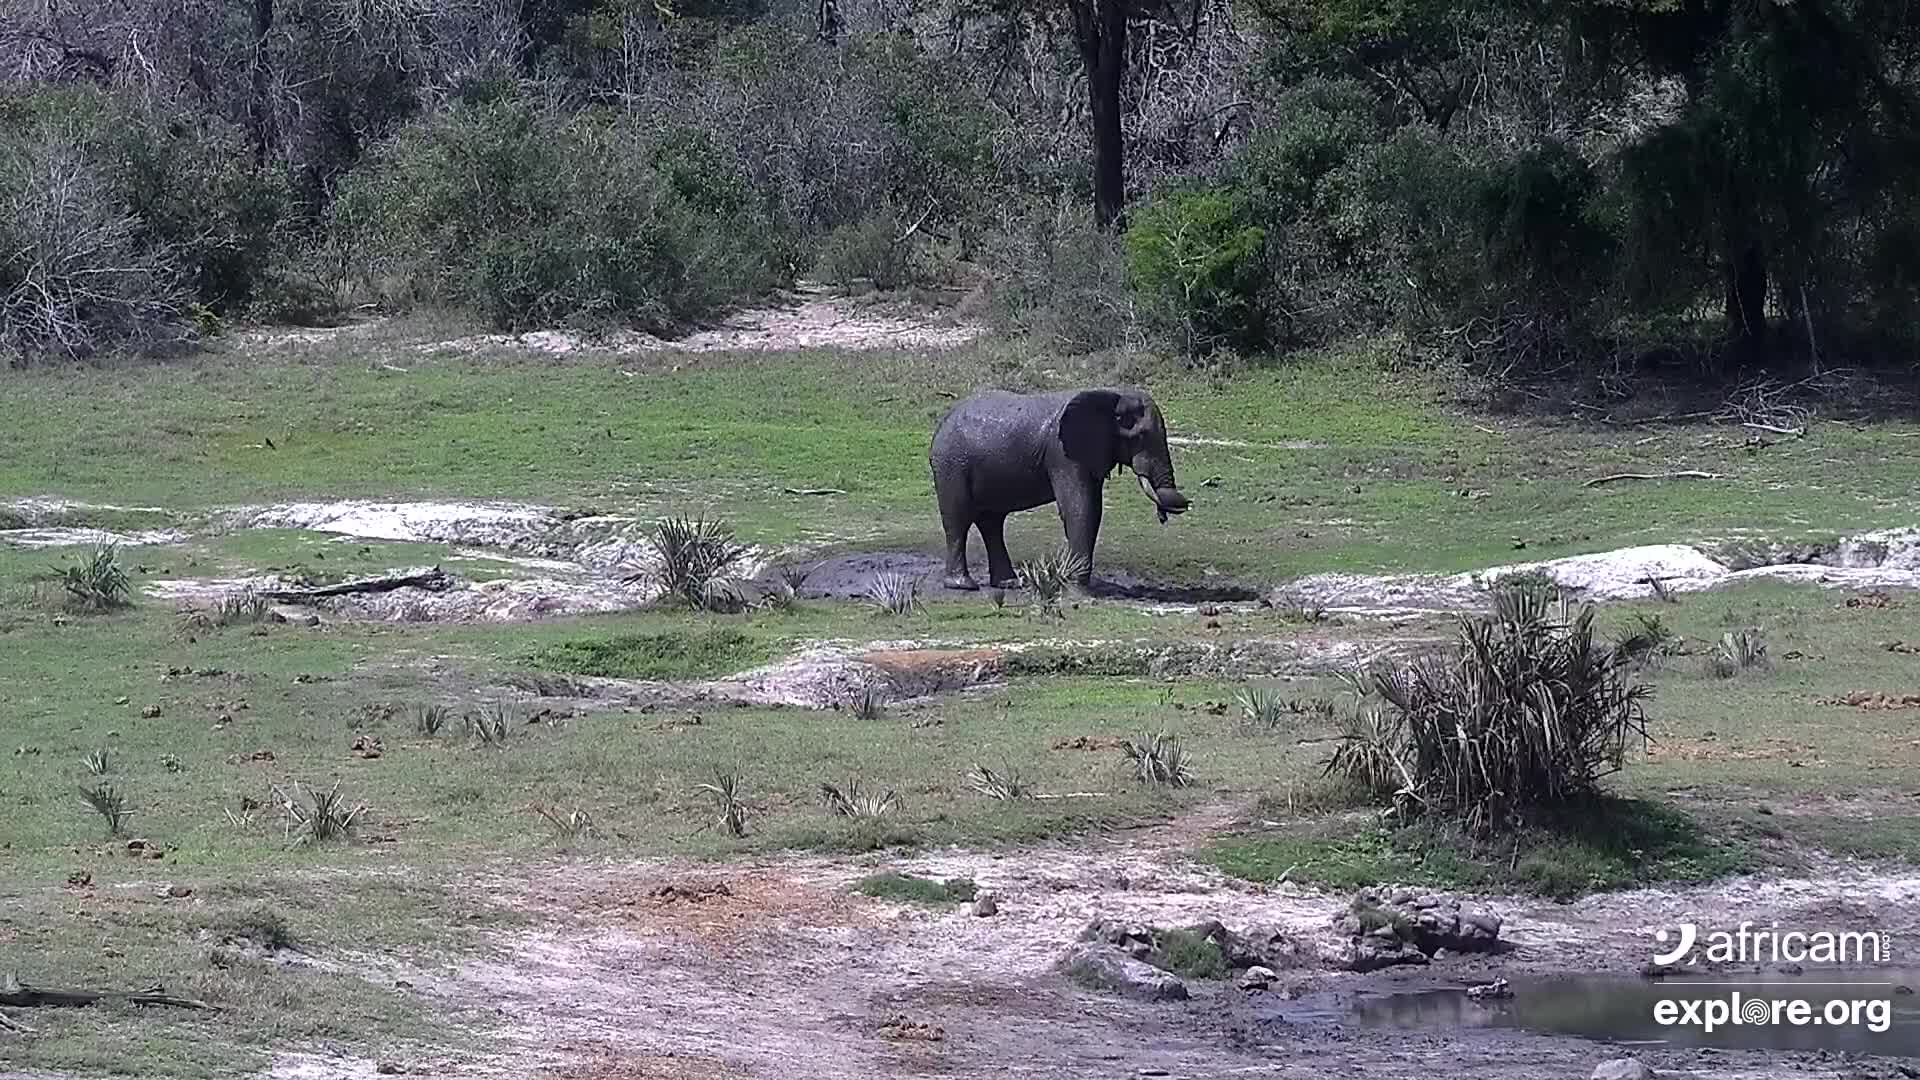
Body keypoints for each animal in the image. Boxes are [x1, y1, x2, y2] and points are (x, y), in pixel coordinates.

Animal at [928, 386, 1191, 591]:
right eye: (1141, 436)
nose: (1167, 512)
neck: (1112, 396)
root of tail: (941, 424)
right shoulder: (1062, 453)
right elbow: (1081, 506)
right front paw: (1076, 586)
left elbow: (1092, 508)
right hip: (951, 465)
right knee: (958, 520)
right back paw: (963, 585)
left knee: (992, 523)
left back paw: (1009, 584)